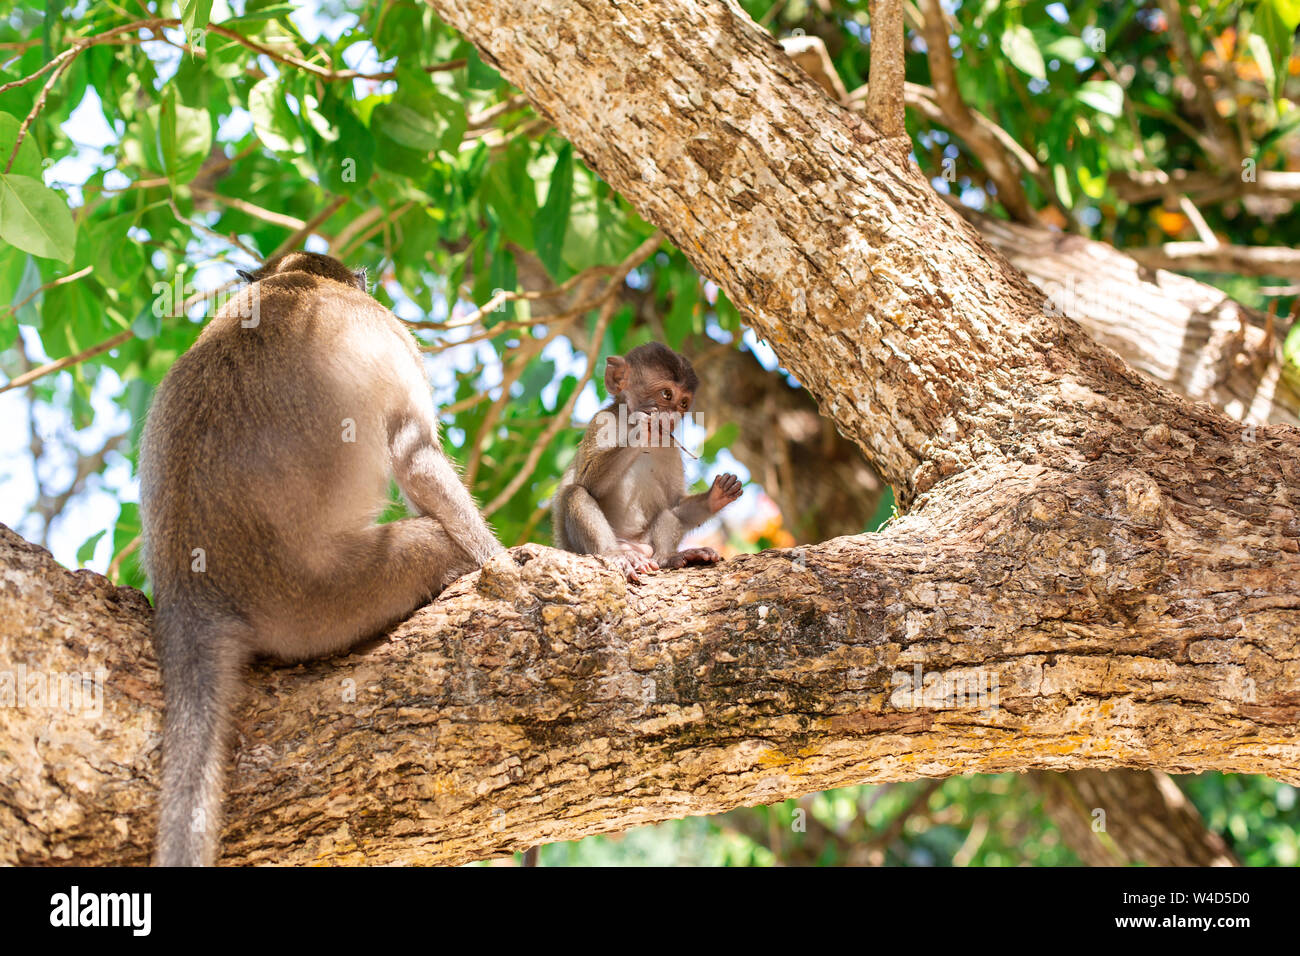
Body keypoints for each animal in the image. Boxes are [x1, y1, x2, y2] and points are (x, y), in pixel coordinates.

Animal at [138, 251, 502, 866]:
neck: (296, 277)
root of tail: (191, 586)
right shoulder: (391, 334)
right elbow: (414, 454)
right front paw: (504, 561)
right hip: (323, 597)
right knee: (430, 541)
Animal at [551, 342, 743, 582]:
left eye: (683, 403)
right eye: (667, 394)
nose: (672, 418)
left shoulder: (670, 448)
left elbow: (675, 503)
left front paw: (716, 496)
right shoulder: (601, 422)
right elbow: (587, 482)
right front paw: (642, 429)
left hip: (646, 543)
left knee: (669, 513)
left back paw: (670, 557)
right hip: (579, 547)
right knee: (575, 493)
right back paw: (616, 554)